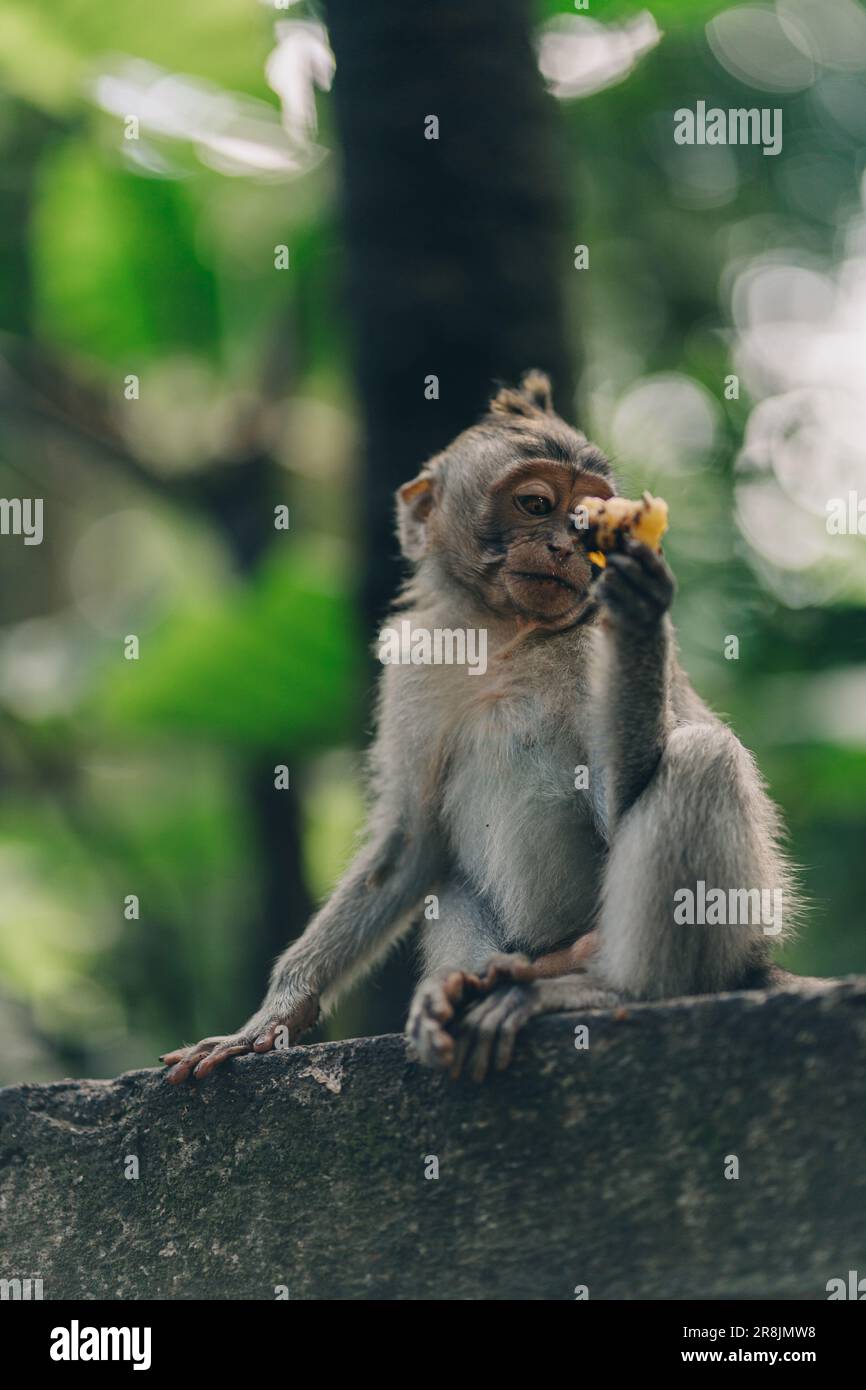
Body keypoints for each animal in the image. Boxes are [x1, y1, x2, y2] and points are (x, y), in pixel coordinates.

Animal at [162, 370, 799, 1086]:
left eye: (585, 518)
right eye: (536, 504)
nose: (566, 545)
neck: (502, 638)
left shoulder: (588, 654)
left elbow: (622, 799)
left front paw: (642, 611)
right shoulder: (414, 669)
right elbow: (410, 842)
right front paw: (276, 1013)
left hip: (738, 937)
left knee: (702, 759)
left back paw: (605, 986)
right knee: (449, 874)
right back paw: (462, 989)